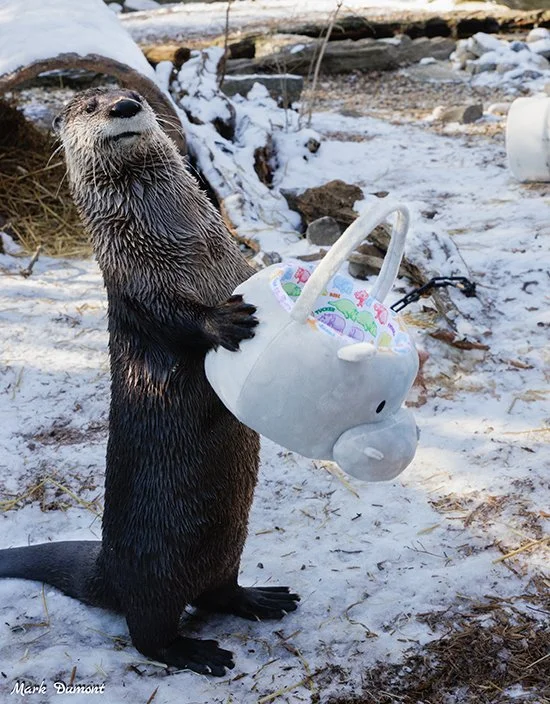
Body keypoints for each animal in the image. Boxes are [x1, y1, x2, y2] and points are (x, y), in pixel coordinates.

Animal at [0, 88, 299, 675]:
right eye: (89, 105)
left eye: (128, 95)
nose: (124, 104)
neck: (189, 251)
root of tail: (108, 567)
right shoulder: (136, 285)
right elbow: (172, 318)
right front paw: (223, 322)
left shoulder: (234, 259)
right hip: (153, 572)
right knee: (147, 632)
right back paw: (194, 652)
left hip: (228, 543)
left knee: (218, 591)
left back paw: (259, 598)